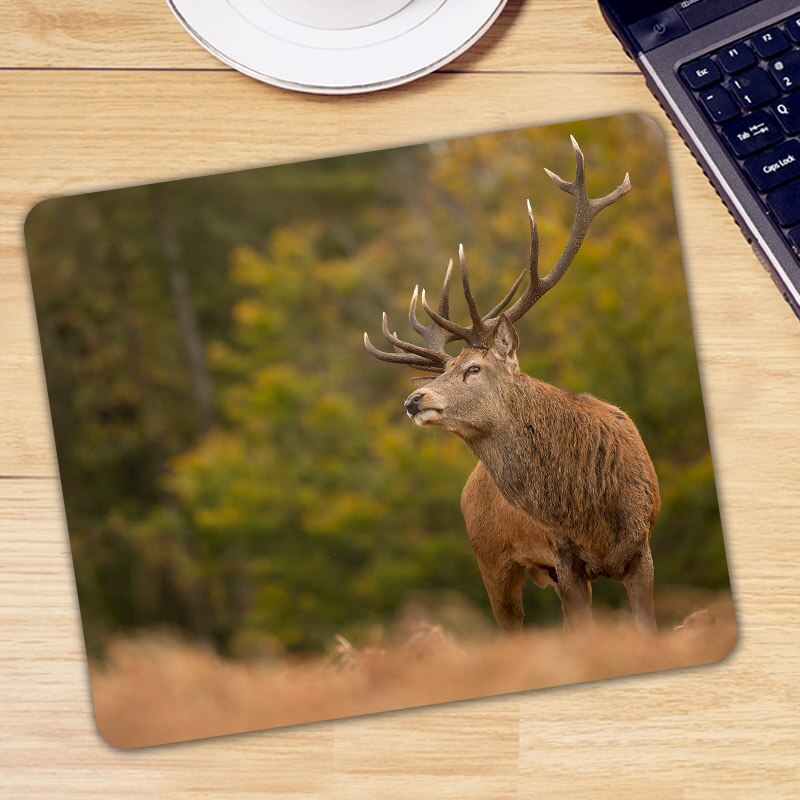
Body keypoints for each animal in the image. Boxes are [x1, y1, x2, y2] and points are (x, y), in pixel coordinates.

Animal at [364, 138, 660, 633]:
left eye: (472, 369)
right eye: (442, 372)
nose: (413, 399)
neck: (590, 512)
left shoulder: (641, 549)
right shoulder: (564, 556)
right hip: (491, 562)